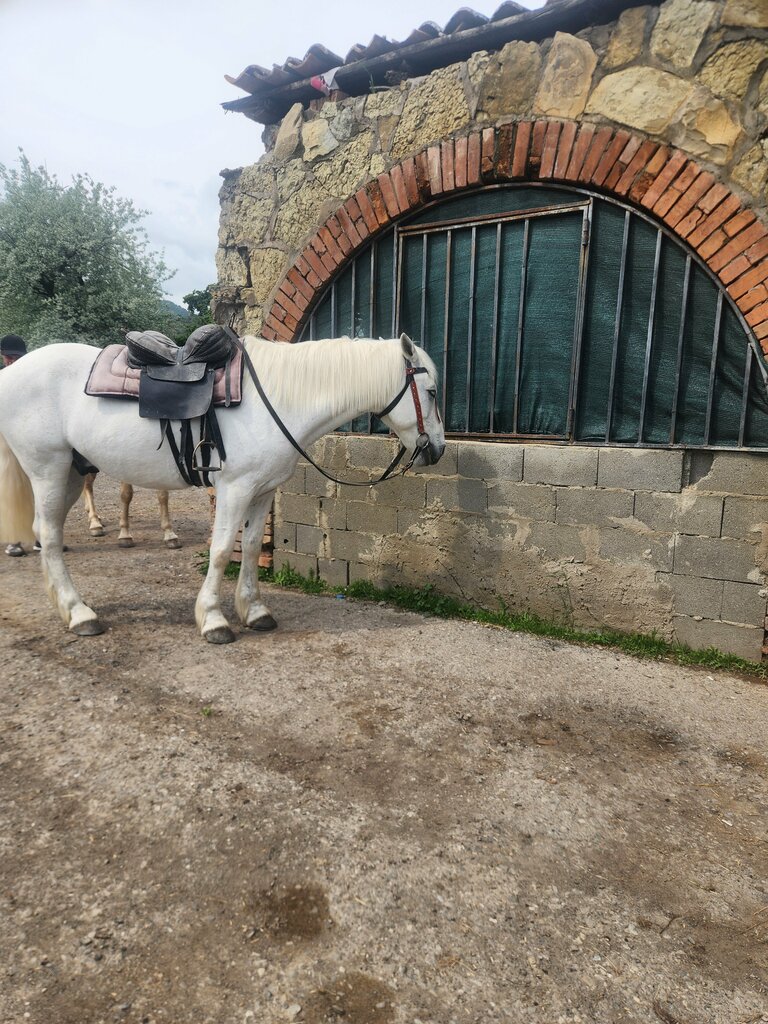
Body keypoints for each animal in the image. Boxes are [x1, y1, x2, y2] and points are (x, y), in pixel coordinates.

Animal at [0, 333, 444, 643]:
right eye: (432, 392)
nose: (437, 450)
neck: (279, 400)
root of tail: (10, 373)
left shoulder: (263, 491)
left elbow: (250, 547)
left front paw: (254, 611)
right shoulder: (235, 488)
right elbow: (220, 550)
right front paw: (213, 620)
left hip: (73, 472)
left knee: (47, 532)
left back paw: (67, 607)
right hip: (48, 468)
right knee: (49, 537)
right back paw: (80, 614)